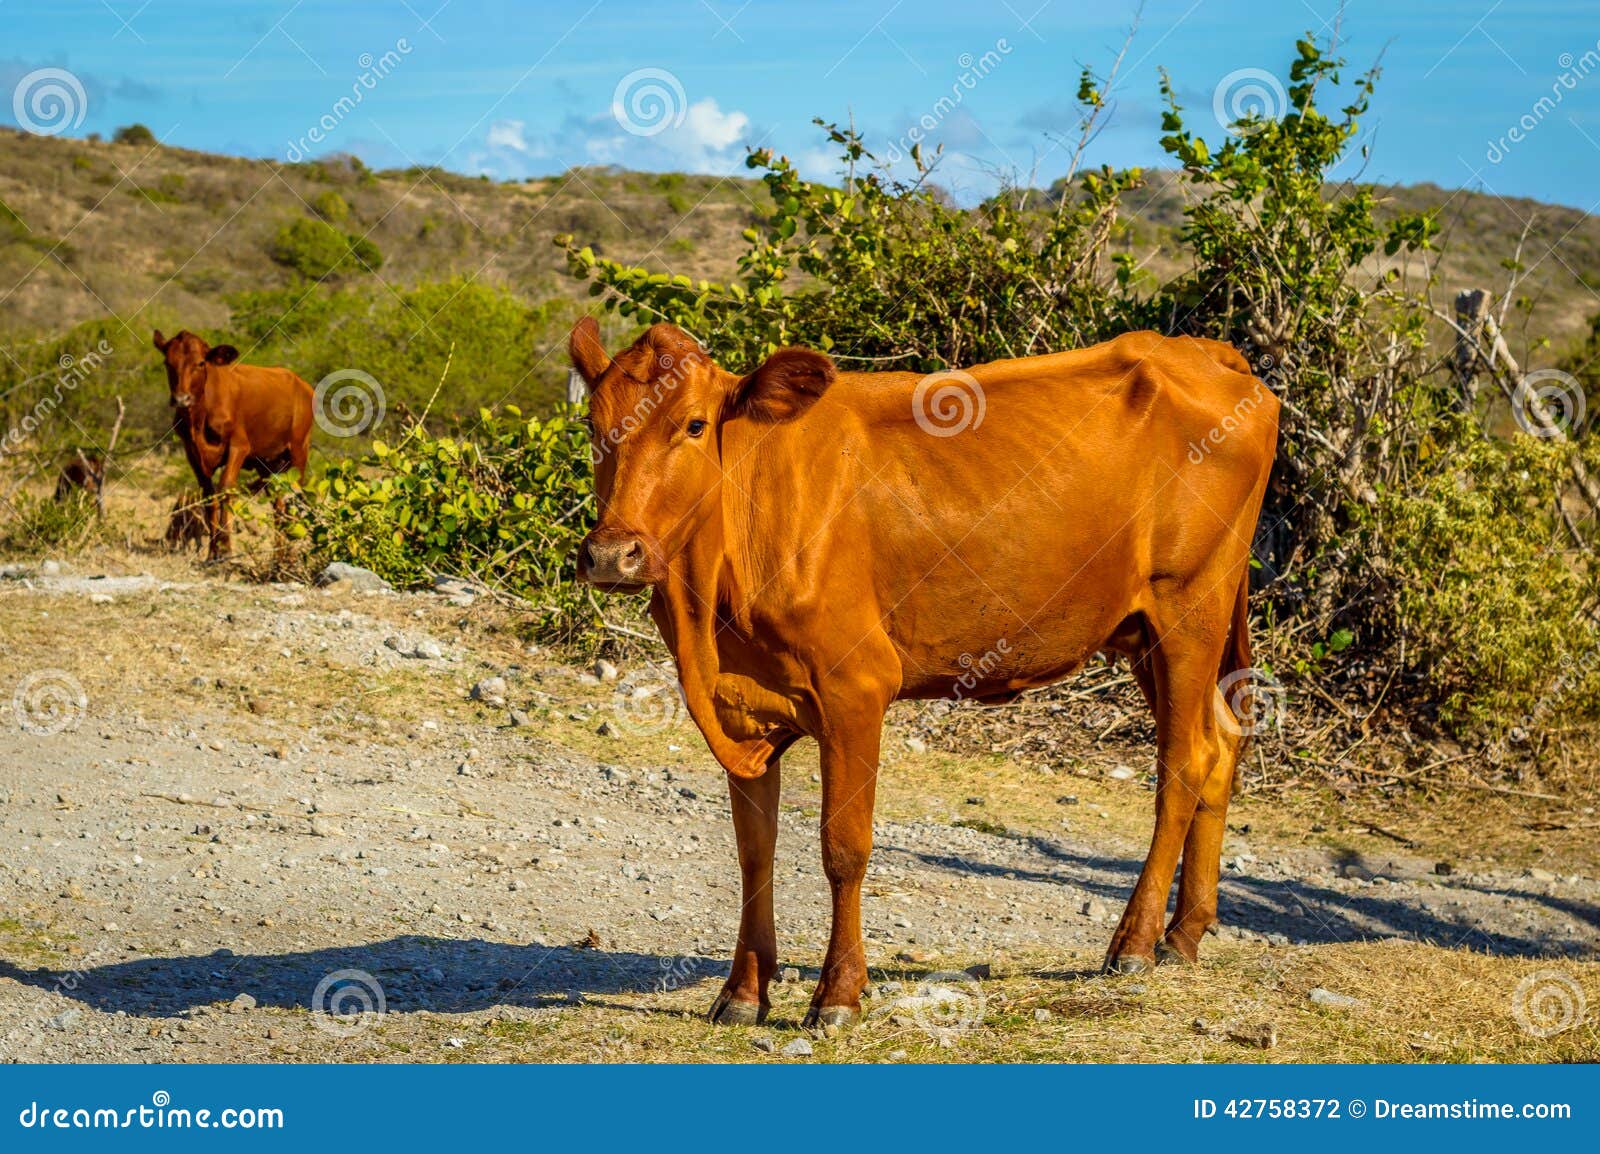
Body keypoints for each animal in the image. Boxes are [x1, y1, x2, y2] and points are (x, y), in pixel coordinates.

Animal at [152, 330, 314, 560]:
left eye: (200, 363)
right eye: (167, 362)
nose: (181, 399)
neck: (199, 418)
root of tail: (301, 383)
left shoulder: (239, 447)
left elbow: (226, 488)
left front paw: (225, 548)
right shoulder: (192, 452)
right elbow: (209, 495)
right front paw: (212, 553)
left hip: (299, 451)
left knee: (293, 496)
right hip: (268, 463)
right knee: (278, 502)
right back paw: (279, 554)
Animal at [567, 317, 1279, 1028]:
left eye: (693, 424)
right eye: (592, 425)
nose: (611, 553)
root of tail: (1204, 352)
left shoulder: (854, 688)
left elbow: (844, 849)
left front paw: (838, 995)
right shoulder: (739, 707)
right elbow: (753, 851)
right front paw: (743, 992)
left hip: (1189, 606)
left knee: (1184, 762)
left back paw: (1134, 943)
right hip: (1146, 632)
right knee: (1221, 742)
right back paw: (1184, 934)